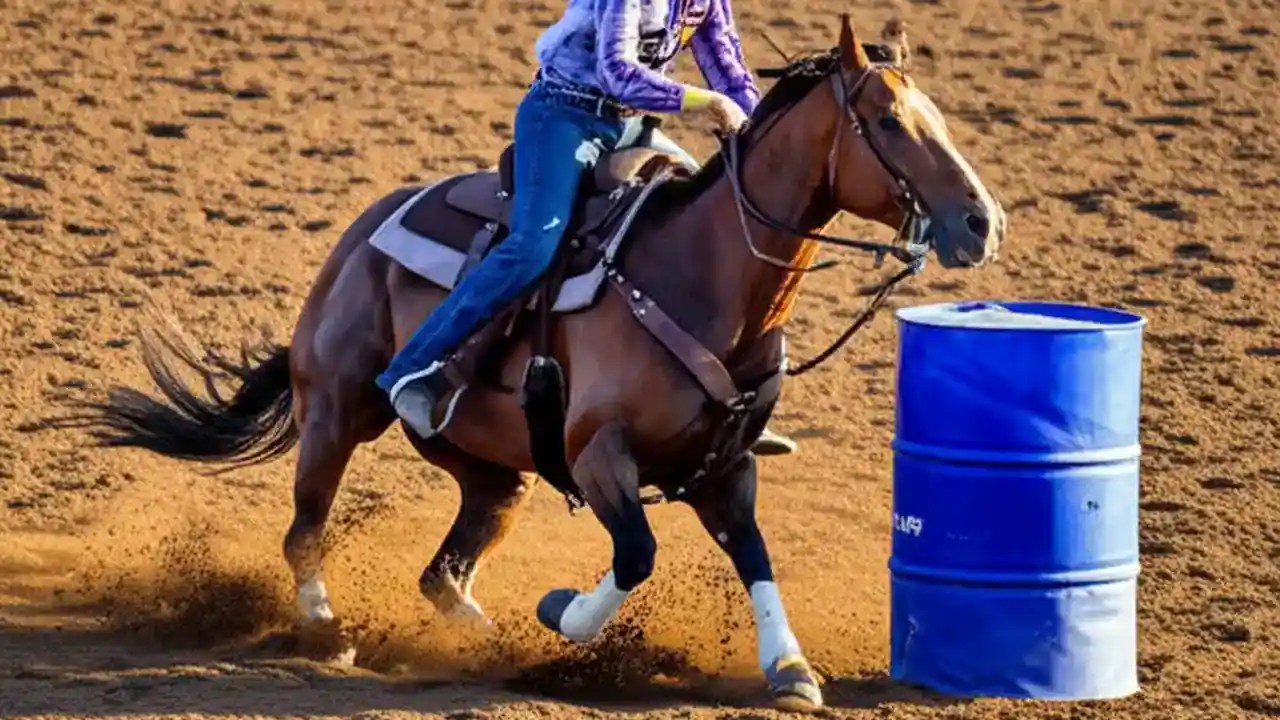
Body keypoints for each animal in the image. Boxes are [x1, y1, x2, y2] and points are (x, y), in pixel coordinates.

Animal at [70, 15, 1004, 712]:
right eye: (890, 125)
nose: (980, 222)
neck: (700, 279)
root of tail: (361, 233)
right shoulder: (597, 453)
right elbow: (636, 555)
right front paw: (562, 614)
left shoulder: (725, 464)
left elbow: (753, 554)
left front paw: (790, 669)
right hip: (336, 412)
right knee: (305, 530)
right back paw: (328, 631)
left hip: (493, 471)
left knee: (443, 571)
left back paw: (476, 637)